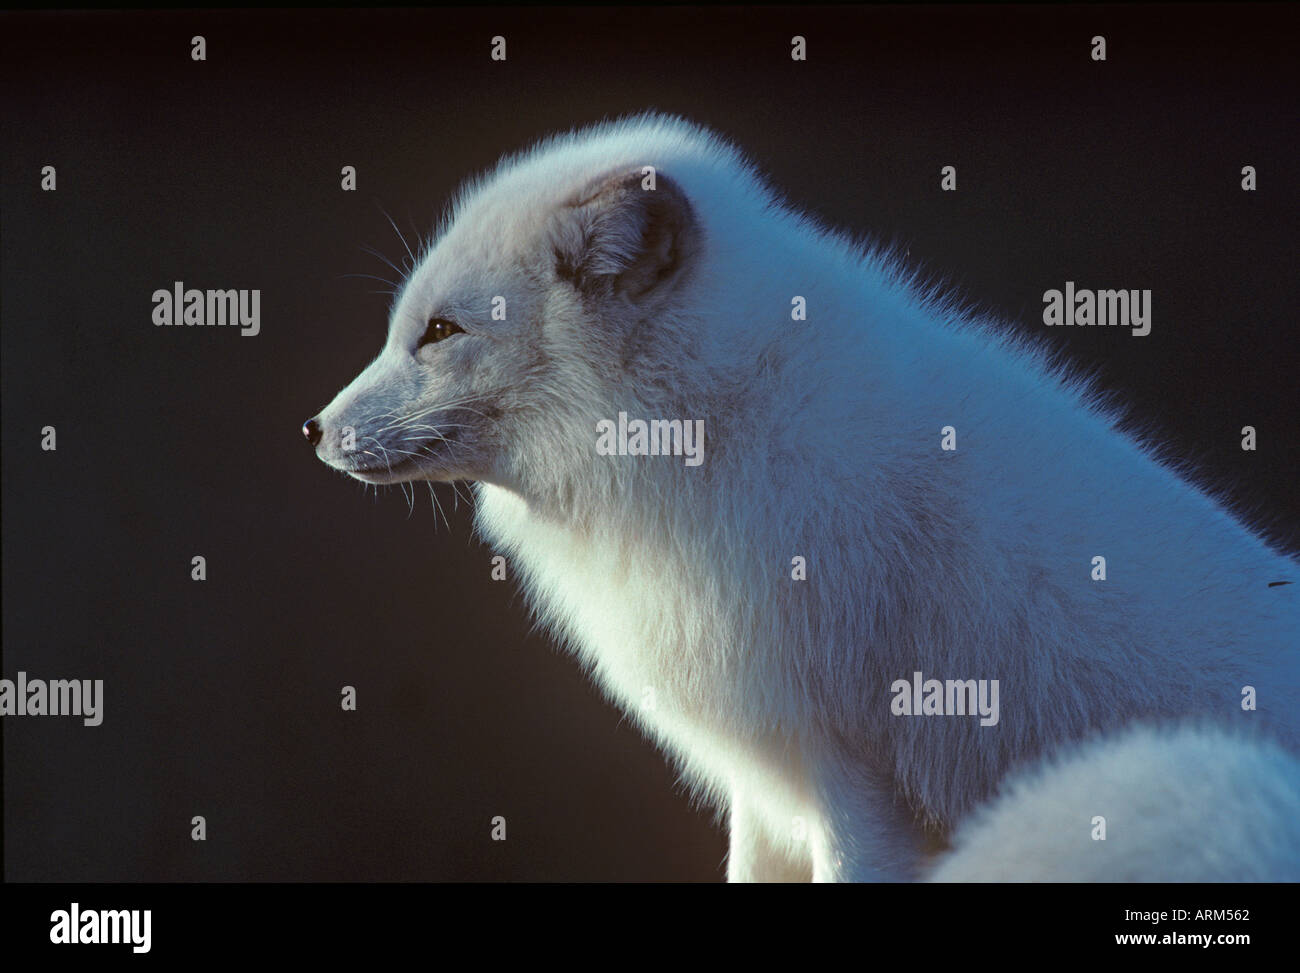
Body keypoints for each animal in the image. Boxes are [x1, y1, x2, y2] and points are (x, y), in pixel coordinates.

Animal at [305, 114, 1300, 881]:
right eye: (407, 329)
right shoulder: (765, 781)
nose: (313, 429)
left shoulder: (852, 780)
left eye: (441, 332)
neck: (720, 425)